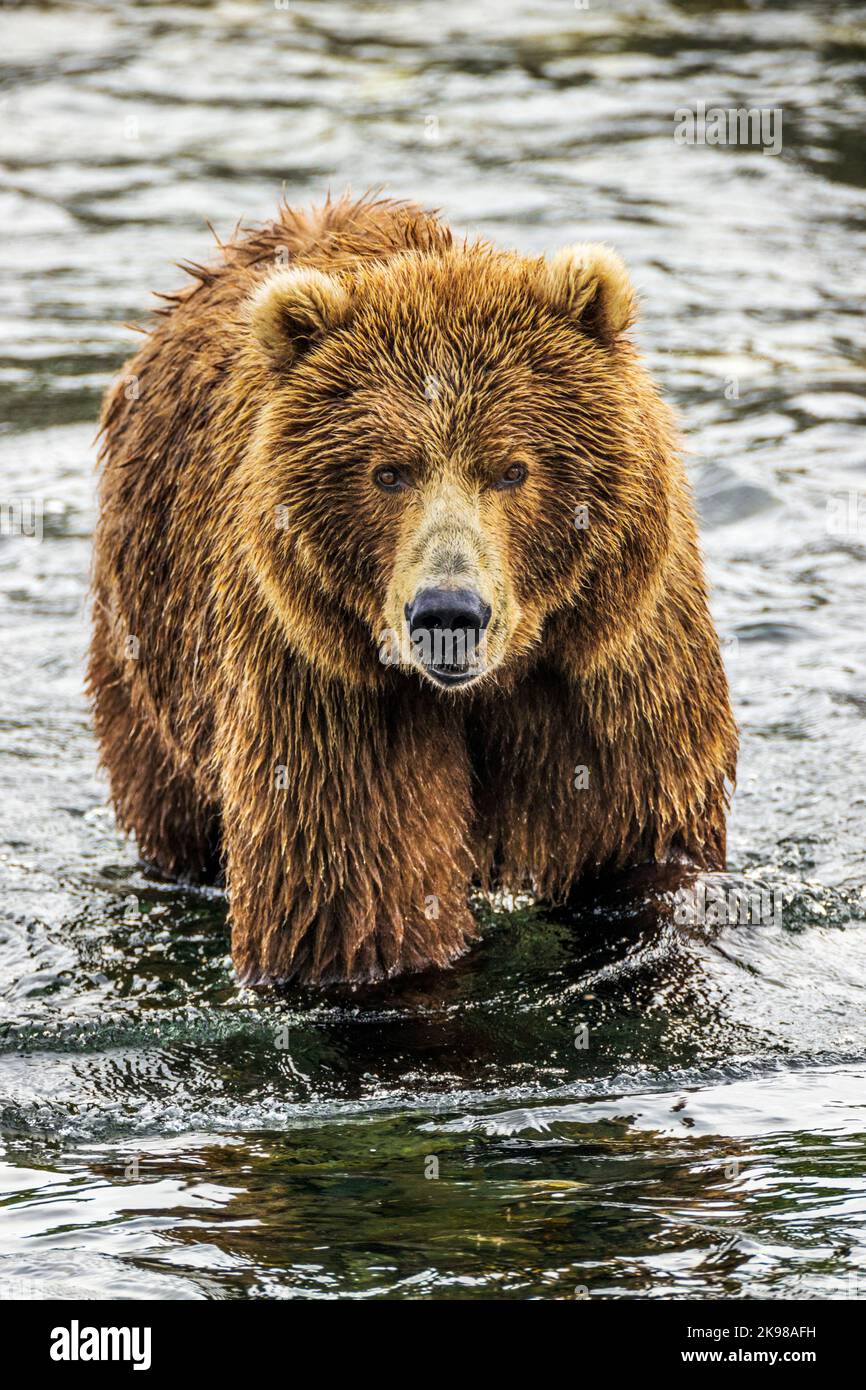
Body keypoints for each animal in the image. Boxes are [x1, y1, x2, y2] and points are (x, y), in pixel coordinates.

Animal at [89, 191, 738, 987]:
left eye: (512, 468)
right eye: (388, 472)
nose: (448, 613)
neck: (496, 682)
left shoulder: (610, 669)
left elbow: (637, 850)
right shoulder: (326, 689)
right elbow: (359, 901)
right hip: (145, 671)